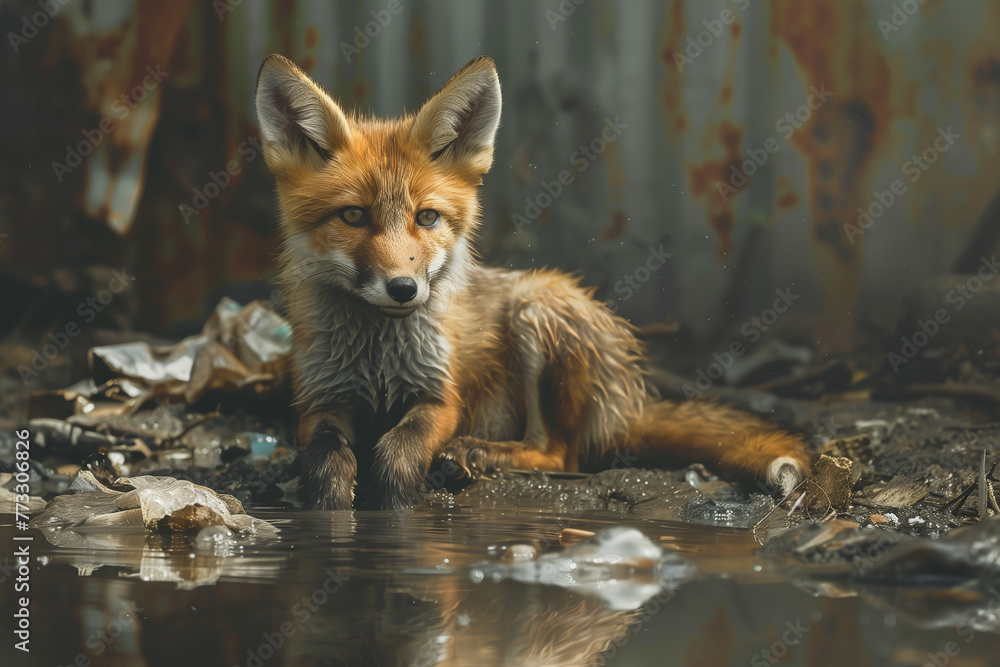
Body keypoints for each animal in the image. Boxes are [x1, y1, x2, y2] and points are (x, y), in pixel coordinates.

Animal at [254, 54, 812, 510]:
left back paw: (475, 456)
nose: (404, 289)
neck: (377, 358)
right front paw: (331, 502)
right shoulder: (320, 400)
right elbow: (325, 459)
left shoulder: (442, 398)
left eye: (427, 218)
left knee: (558, 454)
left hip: (537, 308)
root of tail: (628, 402)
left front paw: (395, 502)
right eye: (353, 216)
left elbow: (399, 449)